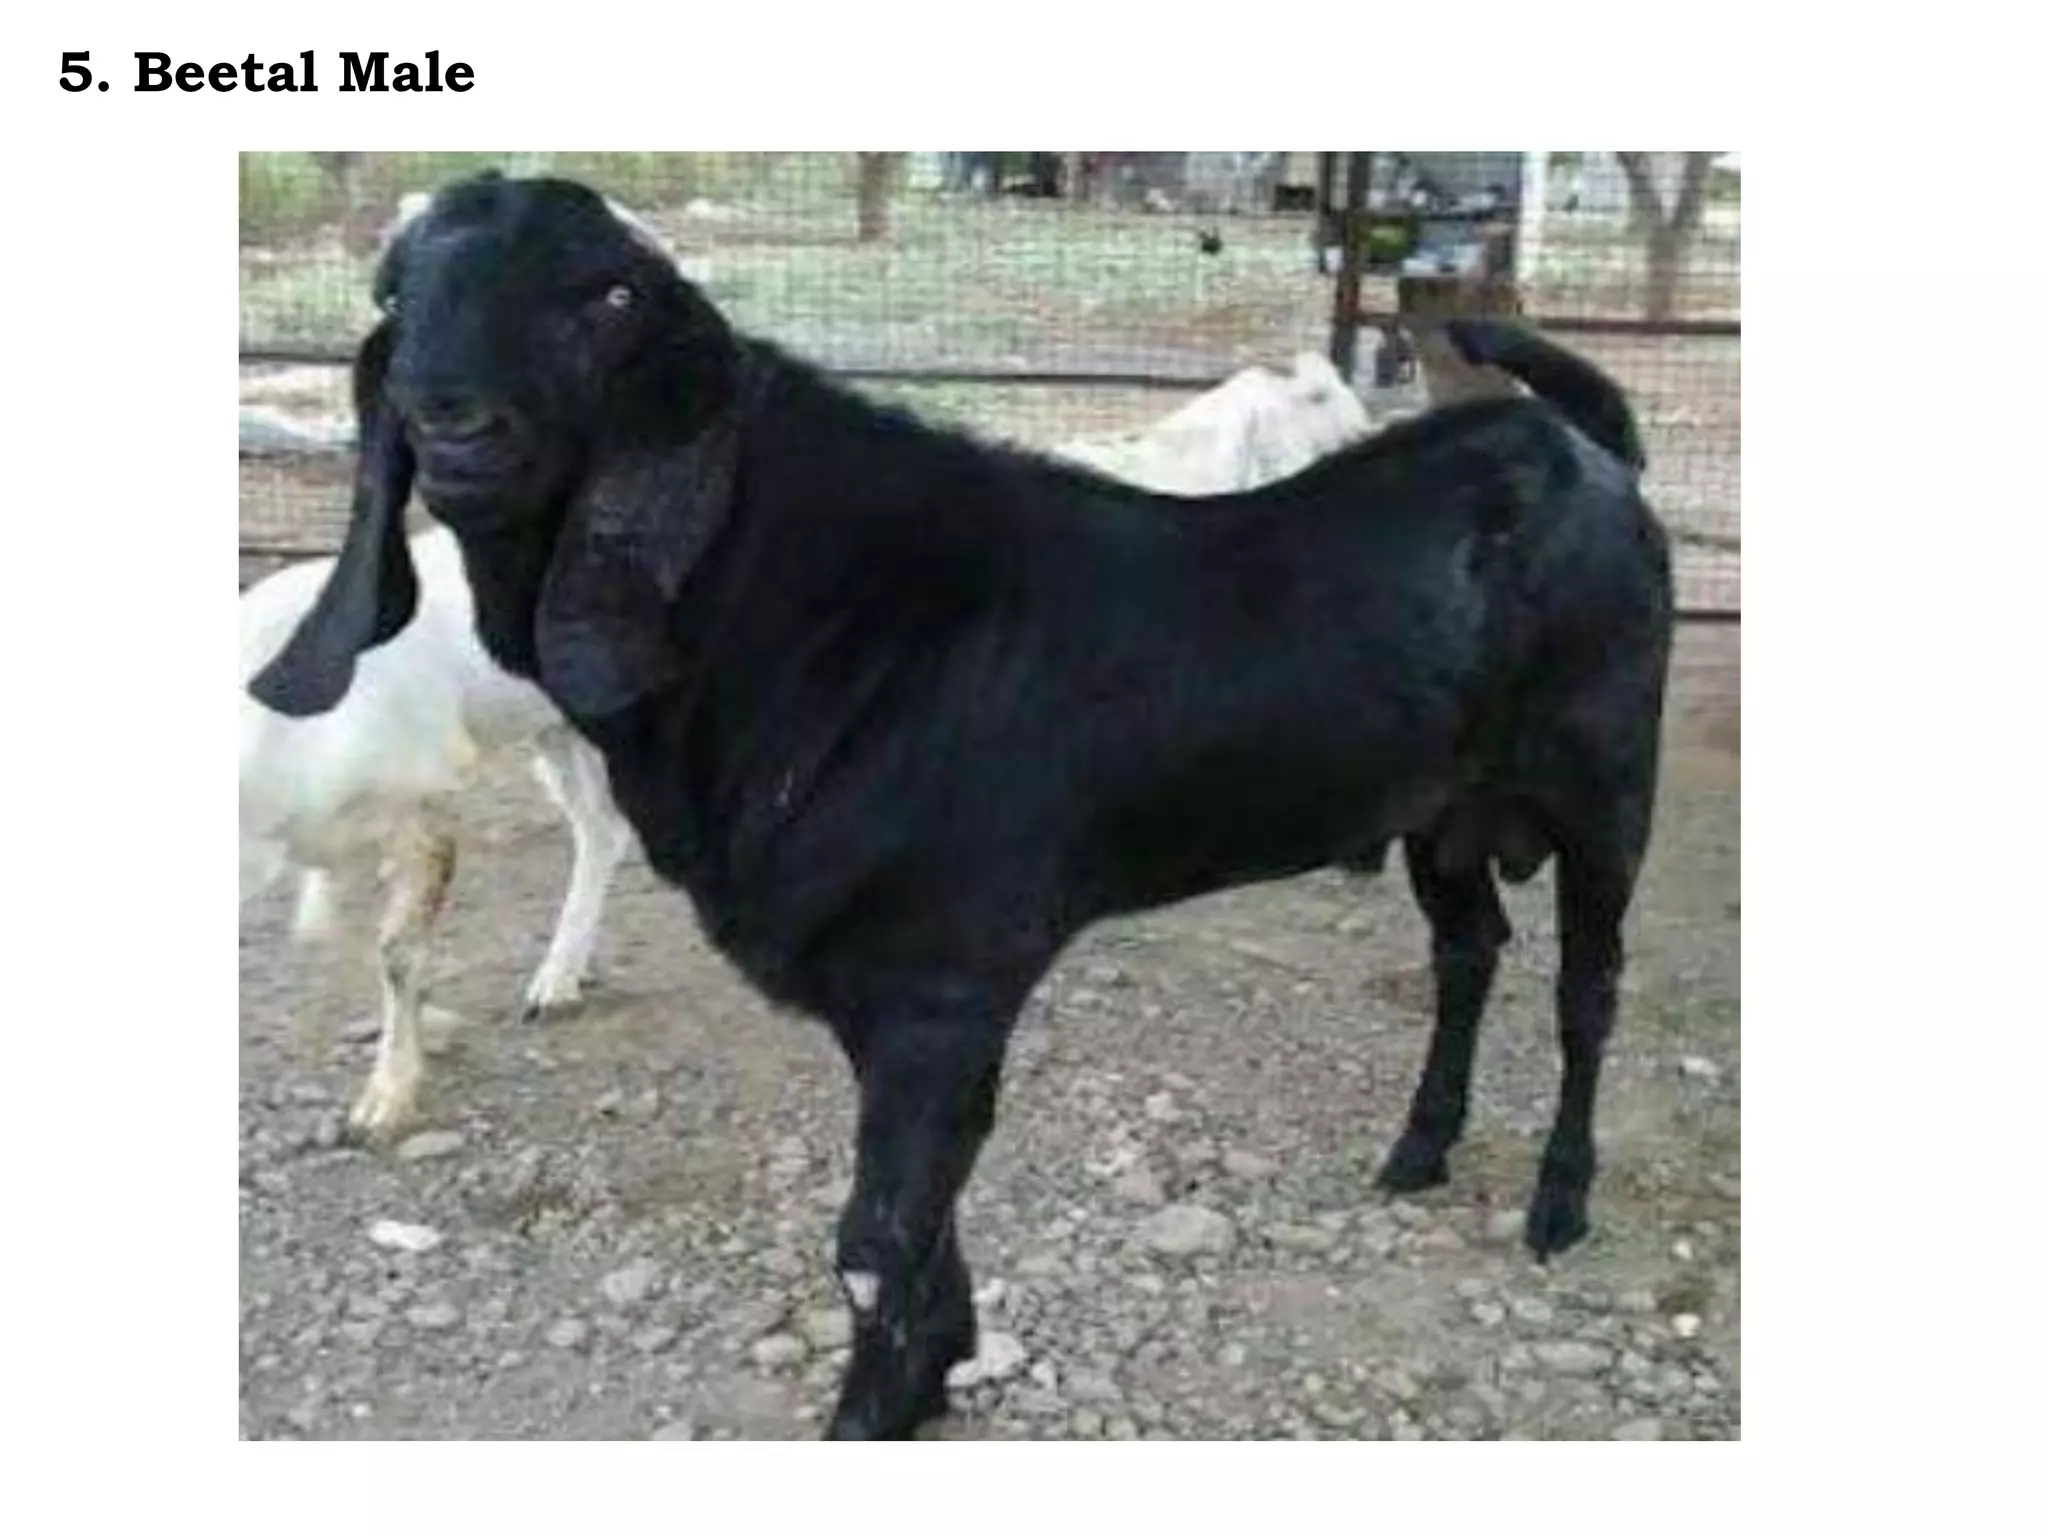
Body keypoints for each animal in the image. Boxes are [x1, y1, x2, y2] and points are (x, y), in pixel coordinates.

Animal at [241, 524, 633, 1140]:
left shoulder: (423, 807)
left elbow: (396, 950)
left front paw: (387, 1098)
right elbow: (341, 935)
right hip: (554, 725)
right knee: (600, 827)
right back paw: (556, 982)